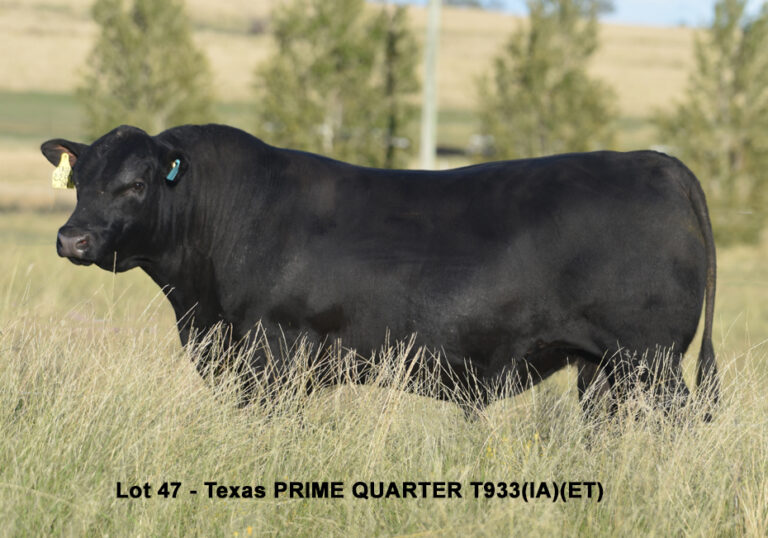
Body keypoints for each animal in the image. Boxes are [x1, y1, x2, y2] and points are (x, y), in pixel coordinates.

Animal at [42, 124, 719, 417]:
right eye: (79, 180)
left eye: (135, 184)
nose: (72, 239)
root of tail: (657, 161)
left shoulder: (272, 354)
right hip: (603, 368)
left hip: (650, 359)